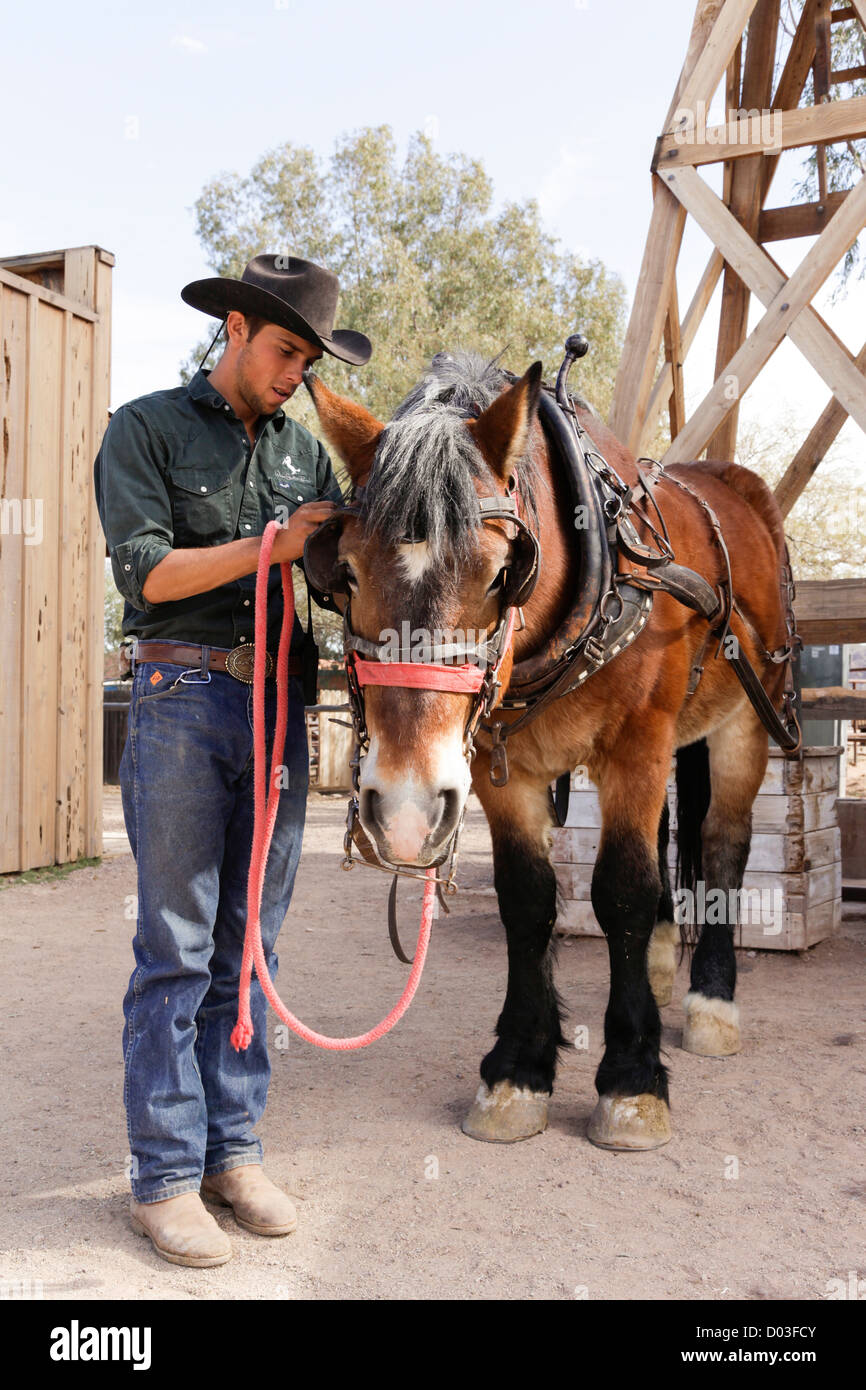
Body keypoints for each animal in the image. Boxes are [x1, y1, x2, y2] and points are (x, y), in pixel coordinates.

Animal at [300, 347, 798, 1151]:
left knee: (723, 843)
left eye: (505, 572)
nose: (402, 811)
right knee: (667, 838)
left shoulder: (637, 743)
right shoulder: (494, 766)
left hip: (743, 724)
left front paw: (632, 1076)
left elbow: (622, 890)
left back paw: (711, 1002)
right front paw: (518, 1070)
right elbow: (527, 898)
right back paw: (661, 965)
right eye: (341, 573)